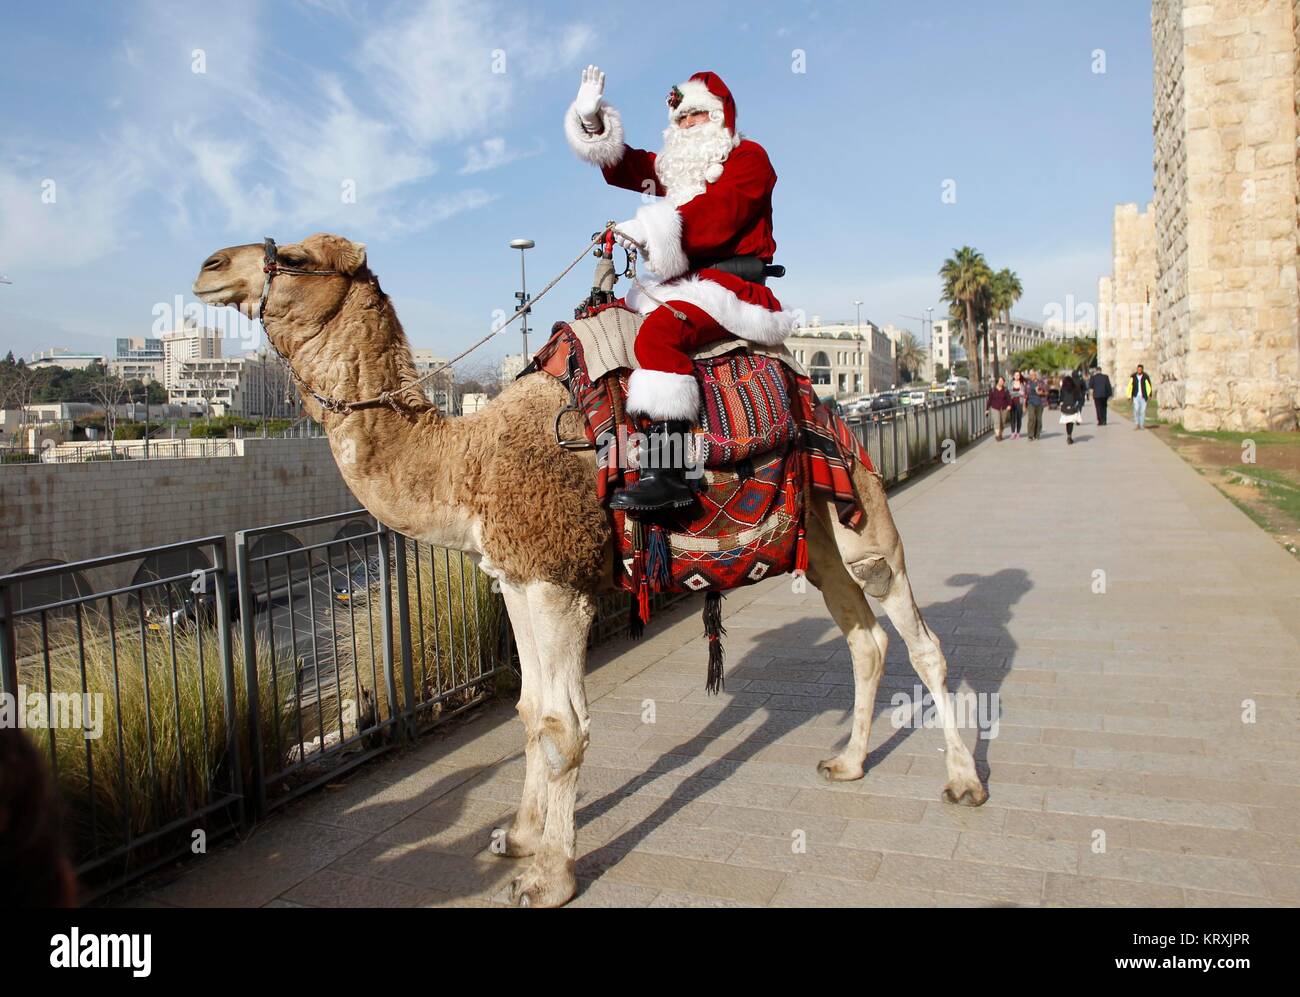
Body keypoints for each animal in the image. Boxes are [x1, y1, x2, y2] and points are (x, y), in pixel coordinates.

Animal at [194, 232, 987, 907]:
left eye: (297, 257)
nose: (209, 266)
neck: (466, 460)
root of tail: (823, 393)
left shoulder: (559, 583)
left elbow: (561, 726)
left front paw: (549, 876)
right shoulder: (515, 578)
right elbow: (525, 708)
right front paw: (517, 836)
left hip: (860, 507)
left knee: (919, 638)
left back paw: (963, 783)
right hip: (817, 531)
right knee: (864, 636)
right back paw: (848, 762)